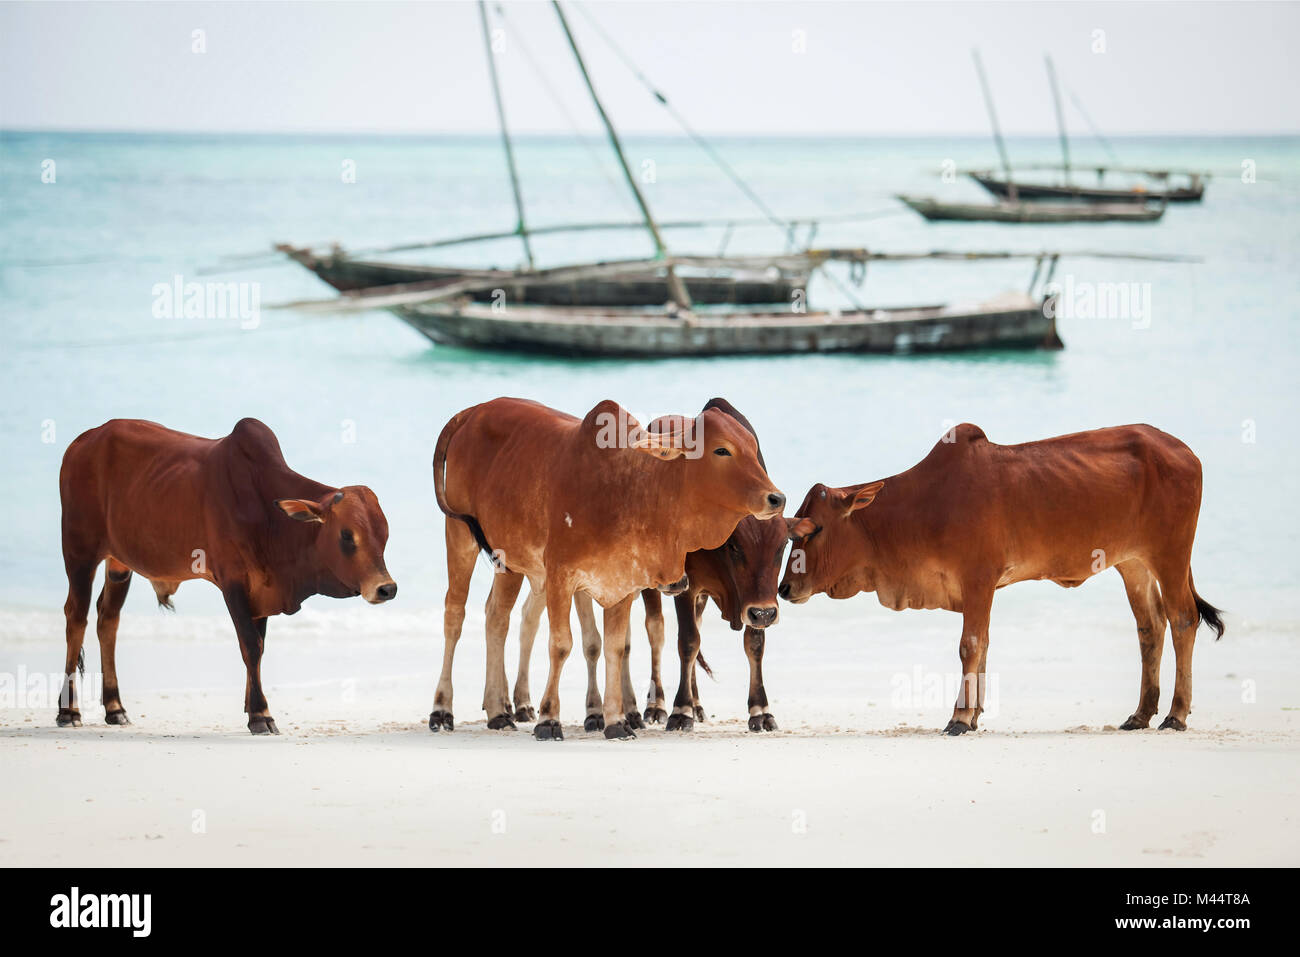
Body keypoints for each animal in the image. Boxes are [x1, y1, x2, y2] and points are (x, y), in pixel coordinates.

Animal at [58, 418, 396, 734]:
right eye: (346, 535)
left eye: (384, 534)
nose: (386, 588)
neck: (268, 514)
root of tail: (83, 441)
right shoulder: (233, 583)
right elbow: (250, 646)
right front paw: (261, 714)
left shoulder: (263, 591)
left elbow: (259, 648)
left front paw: (250, 708)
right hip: (79, 552)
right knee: (76, 618)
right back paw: (69, 712)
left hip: (119, 563)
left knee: (108, 620)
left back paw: (115, 708)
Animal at [429, 397, 784, 740]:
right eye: (721, 449)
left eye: (752, 447)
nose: (776, 498)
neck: (629, 489)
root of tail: (472, 411)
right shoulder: (562, 577)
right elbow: (562, 645)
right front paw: (550, 719)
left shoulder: (621, 584)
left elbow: (615, 648)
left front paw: (616, 721)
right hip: (459, 534)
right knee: (454, 616)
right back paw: (442, 709)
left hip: (509, 562)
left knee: (496, 618)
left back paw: (498, 711)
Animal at [778, 423, 1224, 734]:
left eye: (813, 530)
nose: (783, 588)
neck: (918, 509)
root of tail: (1185, 451)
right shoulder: (981, 588)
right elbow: (985, 646)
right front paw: (974, 716)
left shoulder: (978, 579)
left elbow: (970, 645)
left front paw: (959, 718)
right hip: (1133, 563)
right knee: (1151, 626)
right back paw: (1141, 713)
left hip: (1169, 555)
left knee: (1183, 619)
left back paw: (1176, 714)